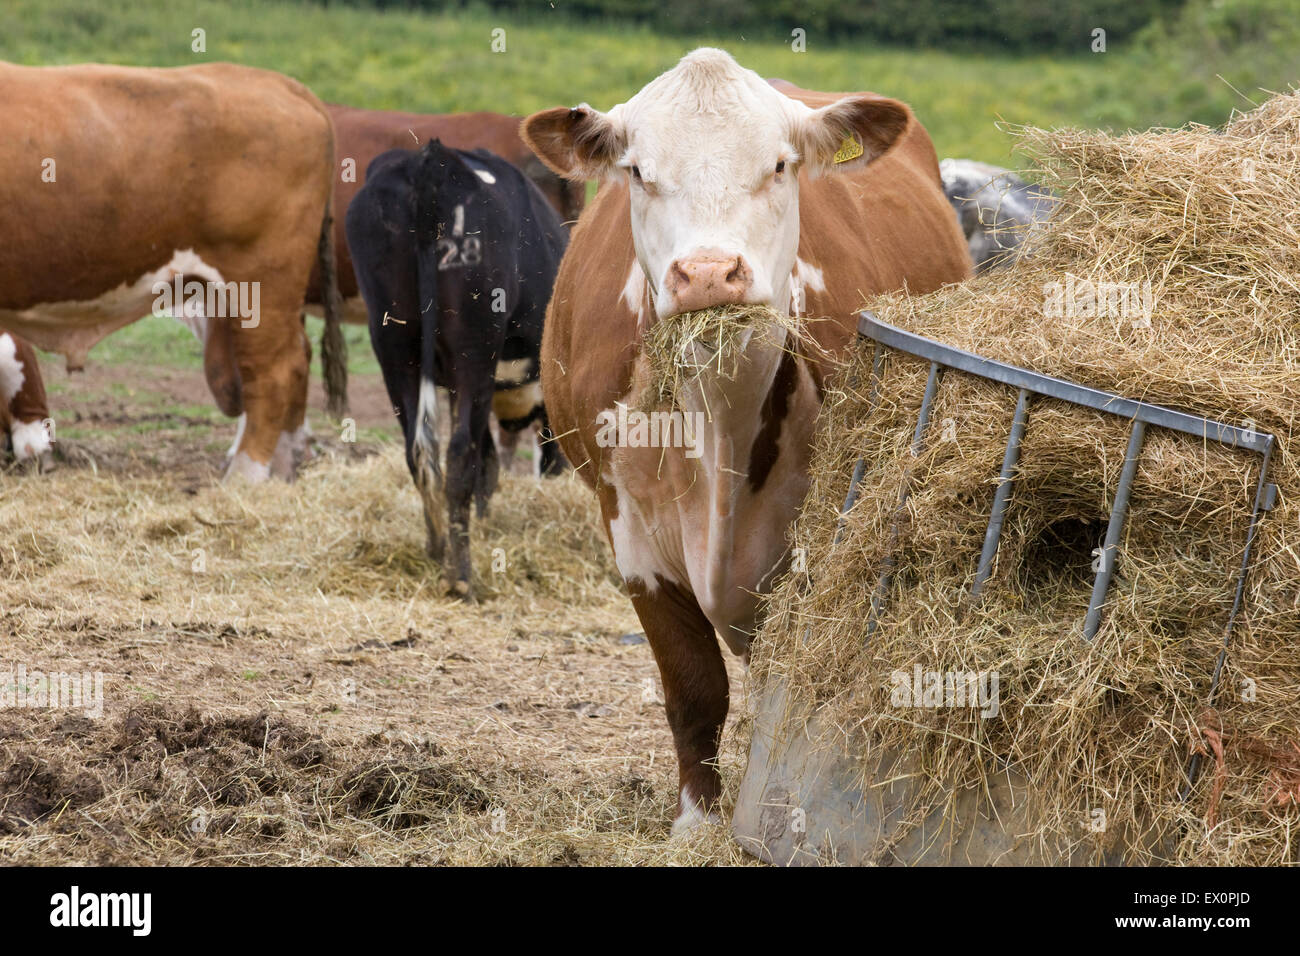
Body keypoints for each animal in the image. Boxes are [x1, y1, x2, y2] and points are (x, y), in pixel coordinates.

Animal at [346, 141, 568, 598]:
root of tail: (433, 159)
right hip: (474, 348)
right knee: (459, 452)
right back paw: (461, 576)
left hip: (394, 345)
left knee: (420, 452)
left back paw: (436, 550)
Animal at [522, 49, 971, 831]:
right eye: (638, 171)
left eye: (780, 165)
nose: (708, 274)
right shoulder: (630, 533)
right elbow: (694, 687)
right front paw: (696, 821)